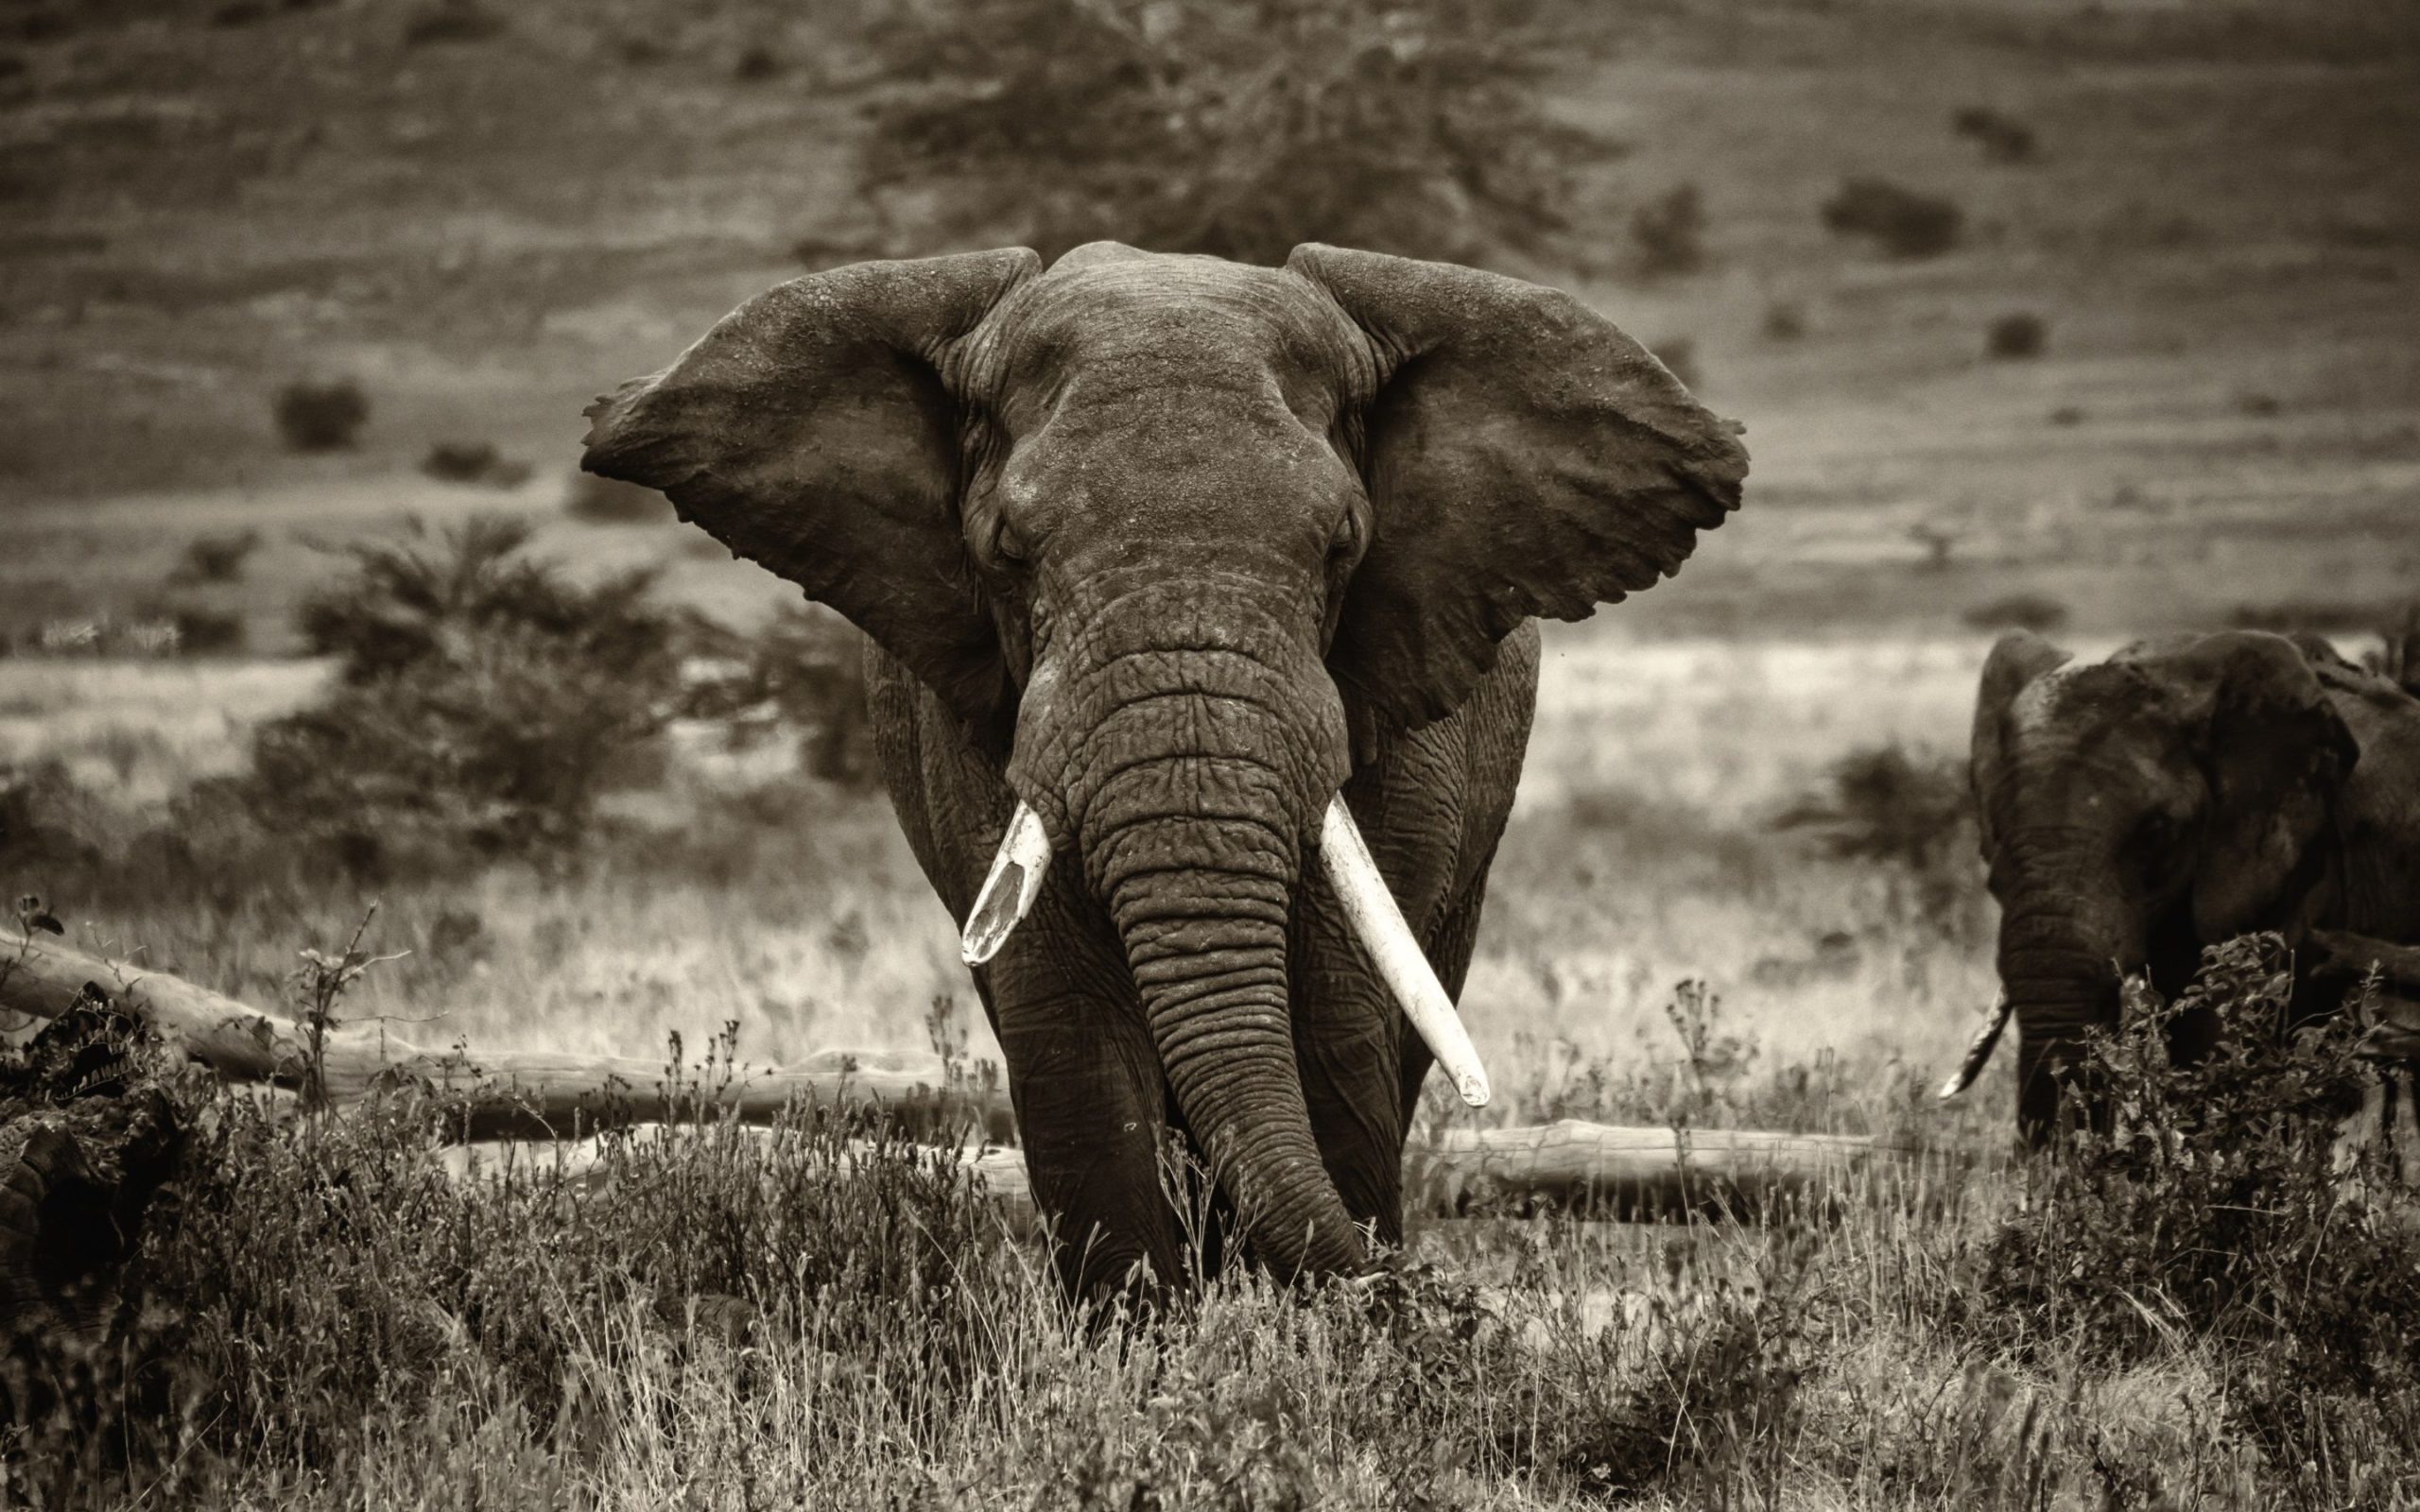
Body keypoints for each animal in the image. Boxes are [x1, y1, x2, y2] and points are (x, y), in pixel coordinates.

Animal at [579, 242, 1749, 1299]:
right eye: (1008, 549)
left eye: (1342, 545)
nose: (1436, 1295)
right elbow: (1070, 1033)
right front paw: (1143, 1355)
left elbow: (1332, 1014)